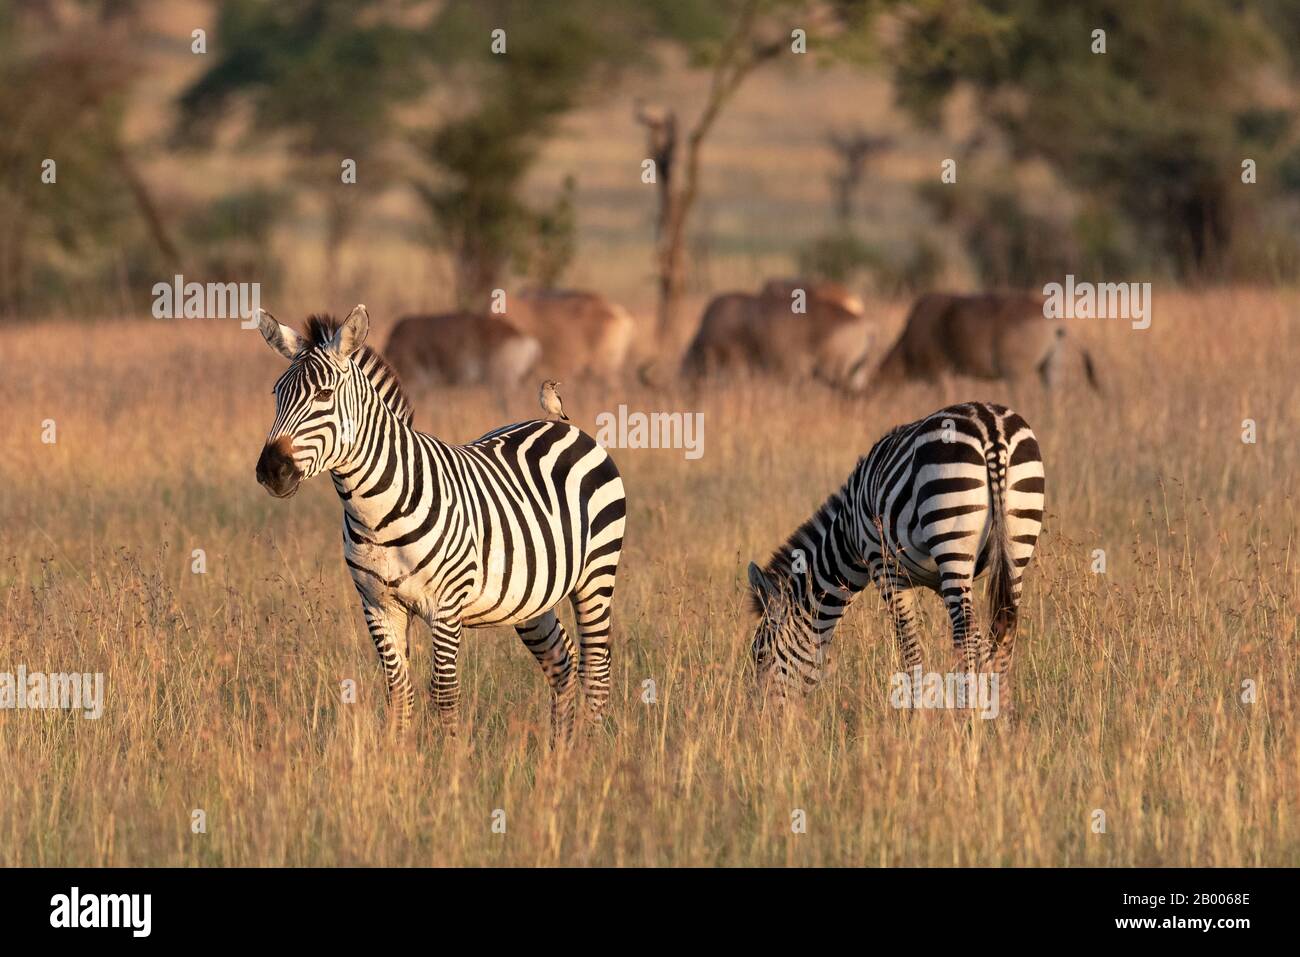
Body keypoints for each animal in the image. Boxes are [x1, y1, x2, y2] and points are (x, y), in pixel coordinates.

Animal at [253, 305, 626, 743]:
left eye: (324, 395)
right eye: (276, 394)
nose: (271, 470)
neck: (375, 514)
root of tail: (562, 424)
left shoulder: (446, 607)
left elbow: (444, 692)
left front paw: (451, 756)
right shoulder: (378, 605)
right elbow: (398, 689)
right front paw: (395, 754)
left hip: (596, 575)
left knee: (596, 670)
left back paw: (587, 749)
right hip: (531, 597)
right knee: (561, 662)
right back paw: (560, 749)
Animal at [746, 401, 1044, 715]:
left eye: (760, 654)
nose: (756, 716)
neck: (848, 534)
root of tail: (991, 427)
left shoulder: (885, 569)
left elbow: (909, 650)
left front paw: (915, 718)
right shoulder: (940, 582)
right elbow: (984, 646)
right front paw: (992, 710)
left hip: (952, 538)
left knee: (965, 639)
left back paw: (966, 721)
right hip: (1015, 545)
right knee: (1003, 636)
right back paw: (1002, 719)